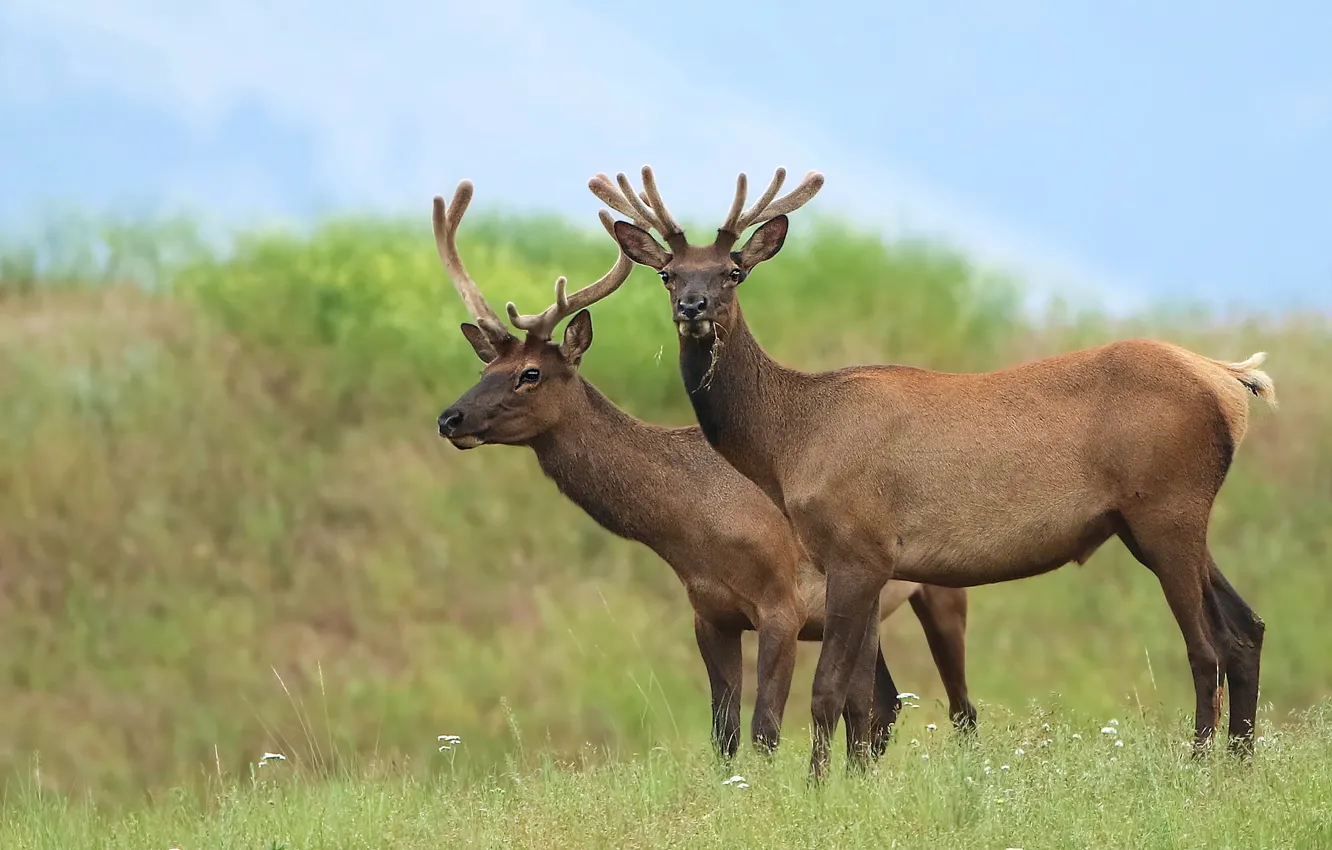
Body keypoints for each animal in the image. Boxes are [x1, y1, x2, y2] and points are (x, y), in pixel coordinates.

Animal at [430, 180, 978, 762]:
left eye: (530, 373)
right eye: (484, 368)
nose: (450, 417)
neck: (693, 526)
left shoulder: (783, 603)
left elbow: (764, 729)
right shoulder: (709, 613)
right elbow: (724, 735)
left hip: (938, 583)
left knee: (959, 705)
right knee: (886, 704)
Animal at [590, 164, 1277, 781]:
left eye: (732, 272)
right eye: (668, 273)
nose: (693, 306)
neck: (789, 444)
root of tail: (1229, 381)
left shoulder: (858, 546)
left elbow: (829, 690)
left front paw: (815, 789)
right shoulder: (866, 560)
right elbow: (860, 697)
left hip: (1166, 506)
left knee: (1205, 646)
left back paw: (1199, 767)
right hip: (1156, 520)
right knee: (1245, 629)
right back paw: (1240, 765)